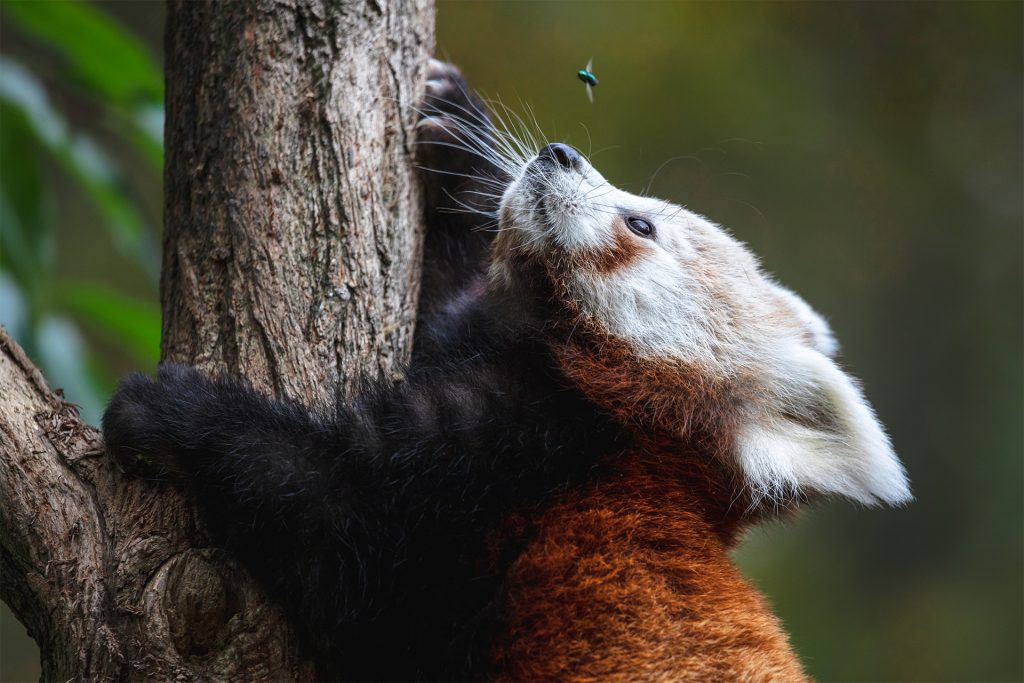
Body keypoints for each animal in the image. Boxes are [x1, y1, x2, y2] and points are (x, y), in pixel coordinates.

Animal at [102, 60, 910, 682]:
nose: (561, 154)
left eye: (640, 224)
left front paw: (172, 414)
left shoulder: (502, 490)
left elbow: (334, 520)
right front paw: (460, 134)